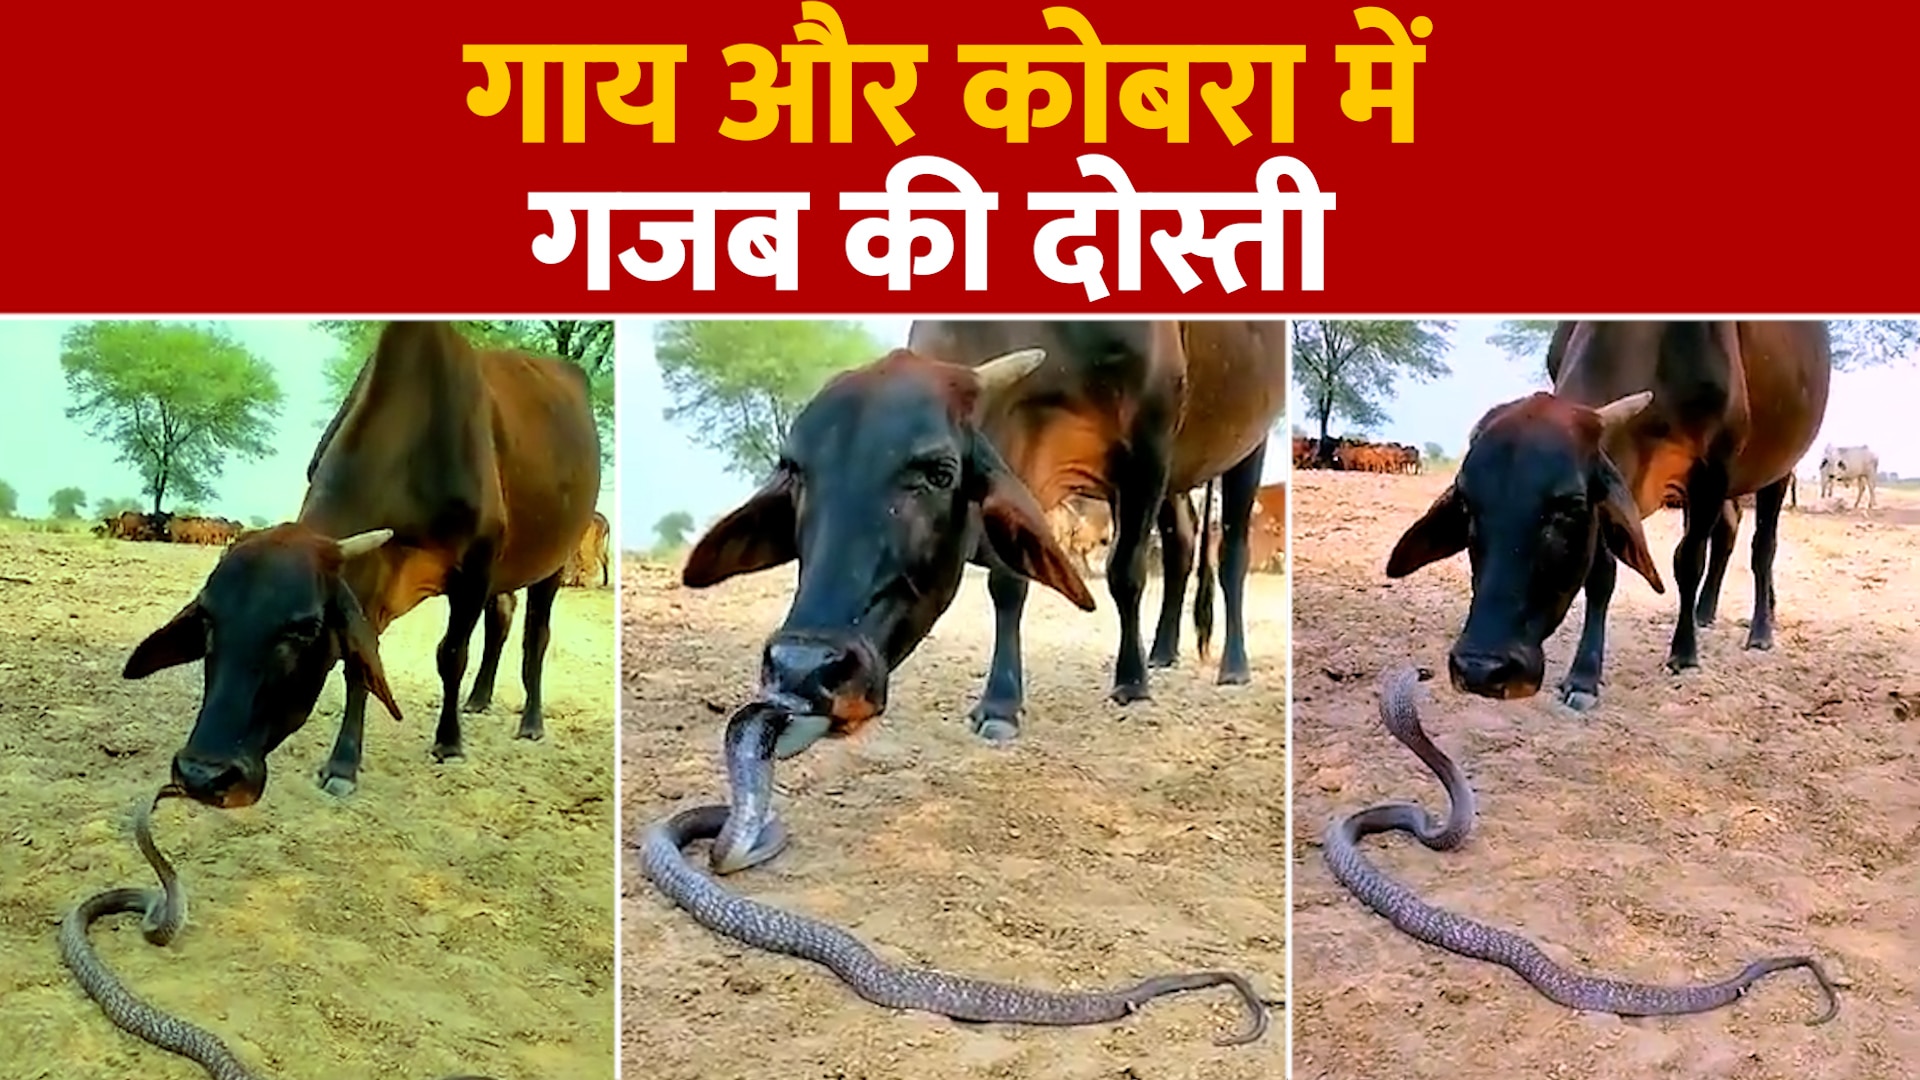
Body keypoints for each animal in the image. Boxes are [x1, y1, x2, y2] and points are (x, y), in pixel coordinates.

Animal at [121, 321, 602, 808]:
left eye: (305, 629)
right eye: (207, 619)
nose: (202, 774)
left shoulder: (476, 569)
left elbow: (451, 654)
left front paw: (448, 743)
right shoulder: (368, 584)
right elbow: (360, 667)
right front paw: (343, 765)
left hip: (553, 562)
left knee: (534, 637)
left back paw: (531, 722)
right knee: (502, 617)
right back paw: (479, 698)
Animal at [680, 321, 1288, 761]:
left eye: (940, 472)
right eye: (795, 468)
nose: (802, 670)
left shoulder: (1147, 449)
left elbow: (1126, 571)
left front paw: (1131, 682)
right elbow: (1007, 584)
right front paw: (1000, 702)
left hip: (1245, 448)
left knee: (1230, 554)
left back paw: (1231, 665)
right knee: (1182, 543)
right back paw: (1163, 650)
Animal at [1385, 321, 1831, 712]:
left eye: (1570, 506)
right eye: (1467, 504)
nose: (1480, 668)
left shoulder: (1712, 472)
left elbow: (1688, 562)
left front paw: (1684, 653)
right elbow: (1601, 575)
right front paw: (1584, 676)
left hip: (1777, 472)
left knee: (1761, 548)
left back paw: (1760, 630)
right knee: (1727, 535)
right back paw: (1705, 613)